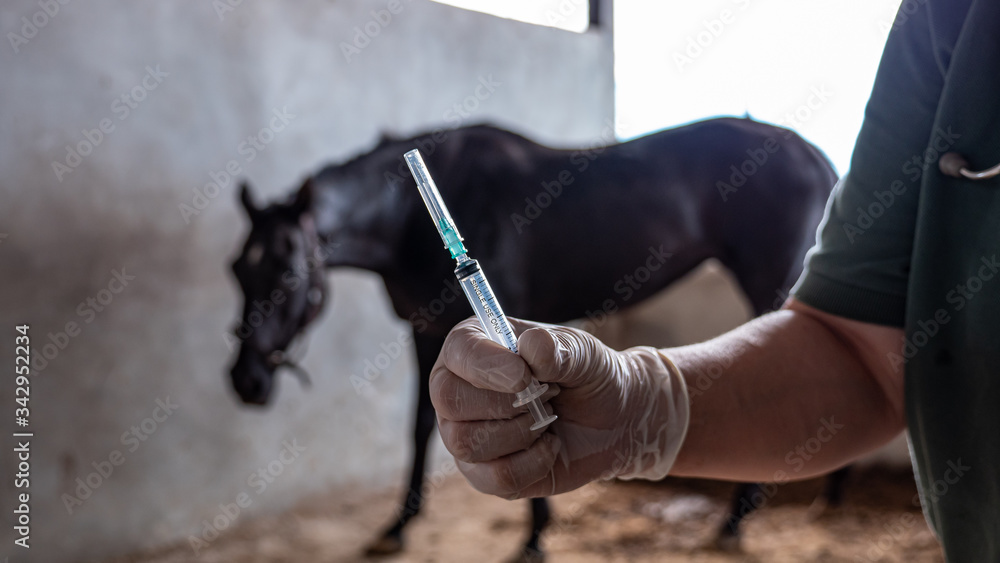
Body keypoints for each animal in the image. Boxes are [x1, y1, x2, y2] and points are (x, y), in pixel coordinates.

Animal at [228, 118, 841, 560]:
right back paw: (826, 499)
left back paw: (739, 519)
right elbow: (419, 424)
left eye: (287, 274)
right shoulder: (426, 329)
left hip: (774, 282)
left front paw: (535, 535)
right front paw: (398, 525)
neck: (407, 224)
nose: (245, 382)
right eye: (236, 269)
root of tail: (811, 151)